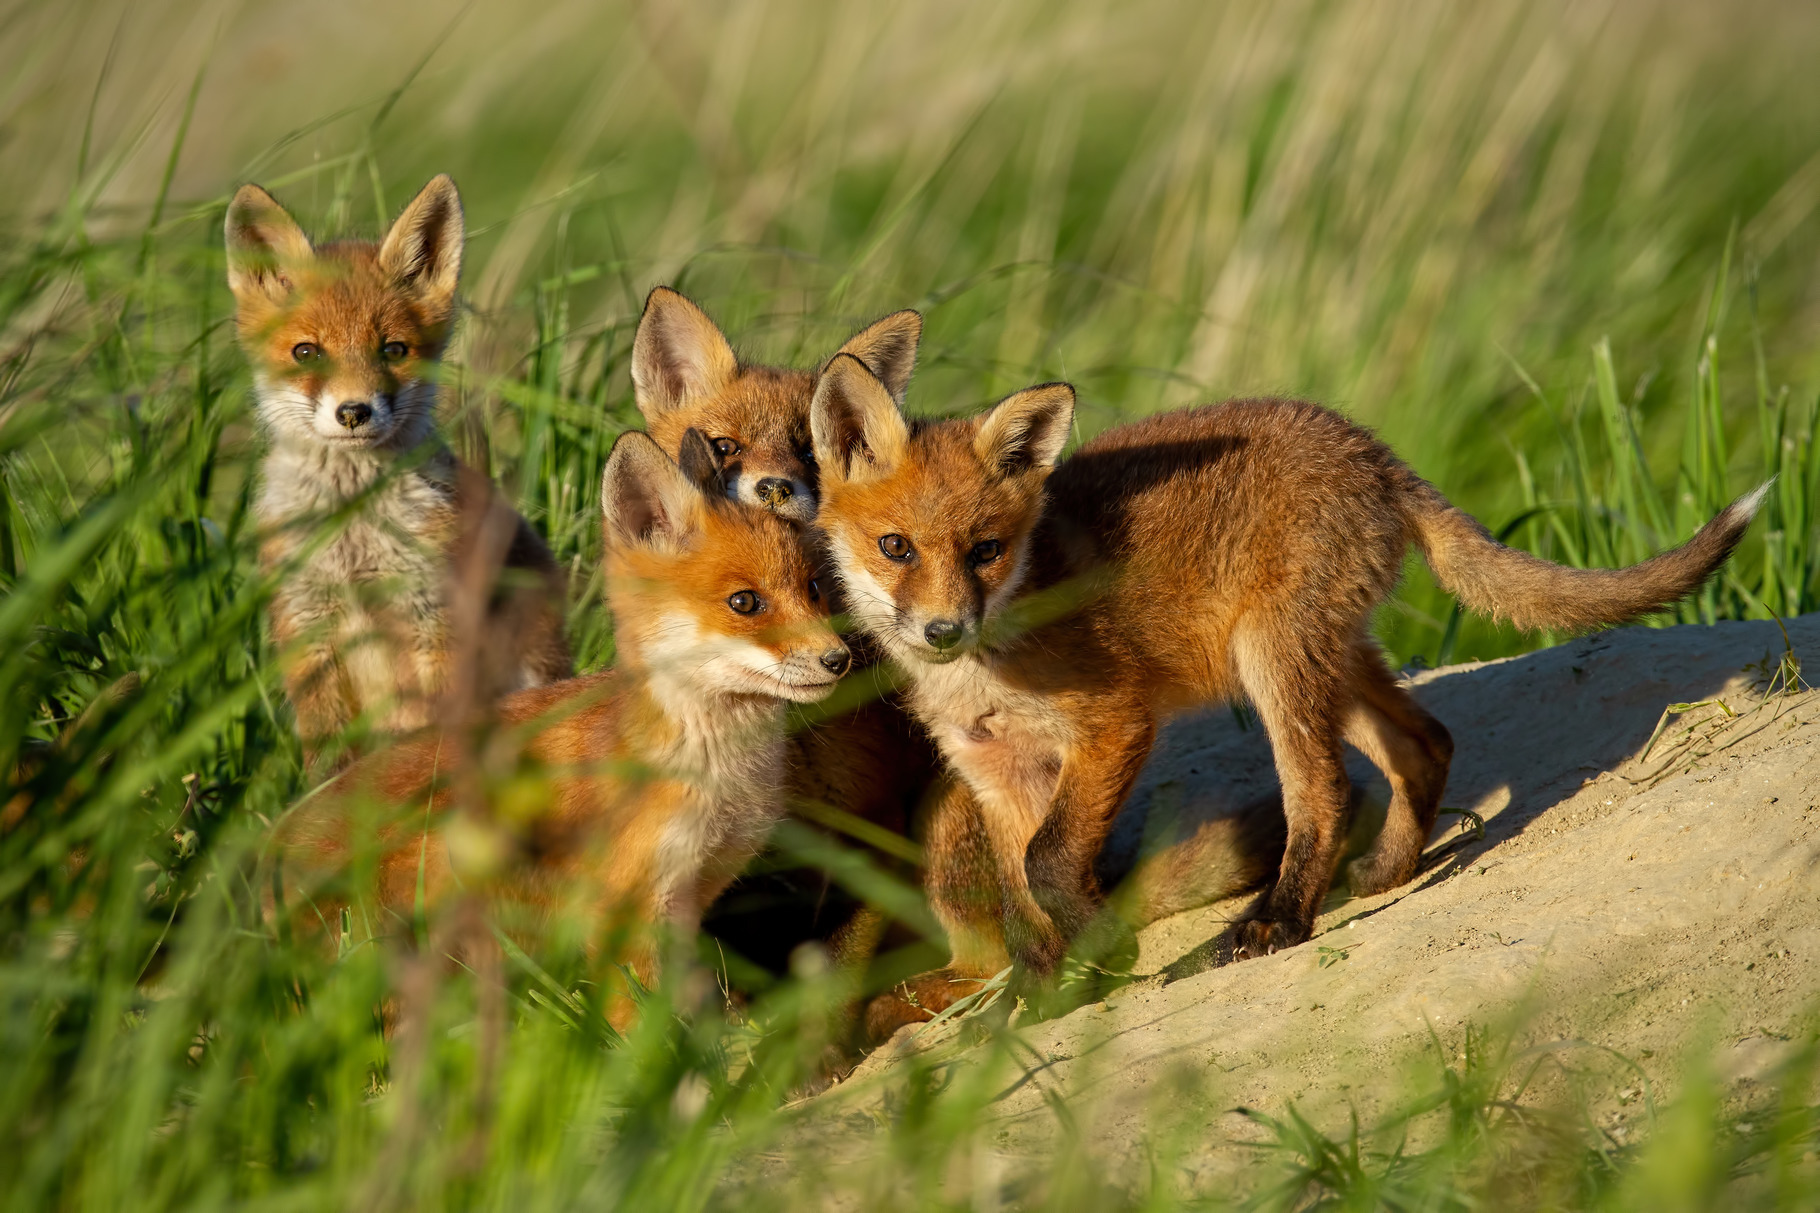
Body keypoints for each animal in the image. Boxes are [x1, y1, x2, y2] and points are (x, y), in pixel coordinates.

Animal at [225, 175, 570, 769]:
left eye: (393, 350)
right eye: (306, 352)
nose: (354, 411)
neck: (355, 536)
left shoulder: (435, 617)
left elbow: (432, 742)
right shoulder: (306, 624)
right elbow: (328, 764)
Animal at [287, 429, 851, 1028]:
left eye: (814, 589)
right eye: (745, 602)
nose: (838, 659)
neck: (718, 780)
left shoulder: (690, 895)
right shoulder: (622, 908)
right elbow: (637, 1018)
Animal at [807, 355, 1766, 1019]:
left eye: (985, 550)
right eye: (896, 547)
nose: (943, 631)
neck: (991, 663)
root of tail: (1368, 447)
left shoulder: (1112, 725)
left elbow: (1049, 865)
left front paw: (1106, 950)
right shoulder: (993, 769)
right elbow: (1017, 903)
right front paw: (1045, 1000)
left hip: (1274, 662)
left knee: (1326, 790)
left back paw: (1281, 920)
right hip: (1333, 658)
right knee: (1425, 742)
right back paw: (1387, 870)